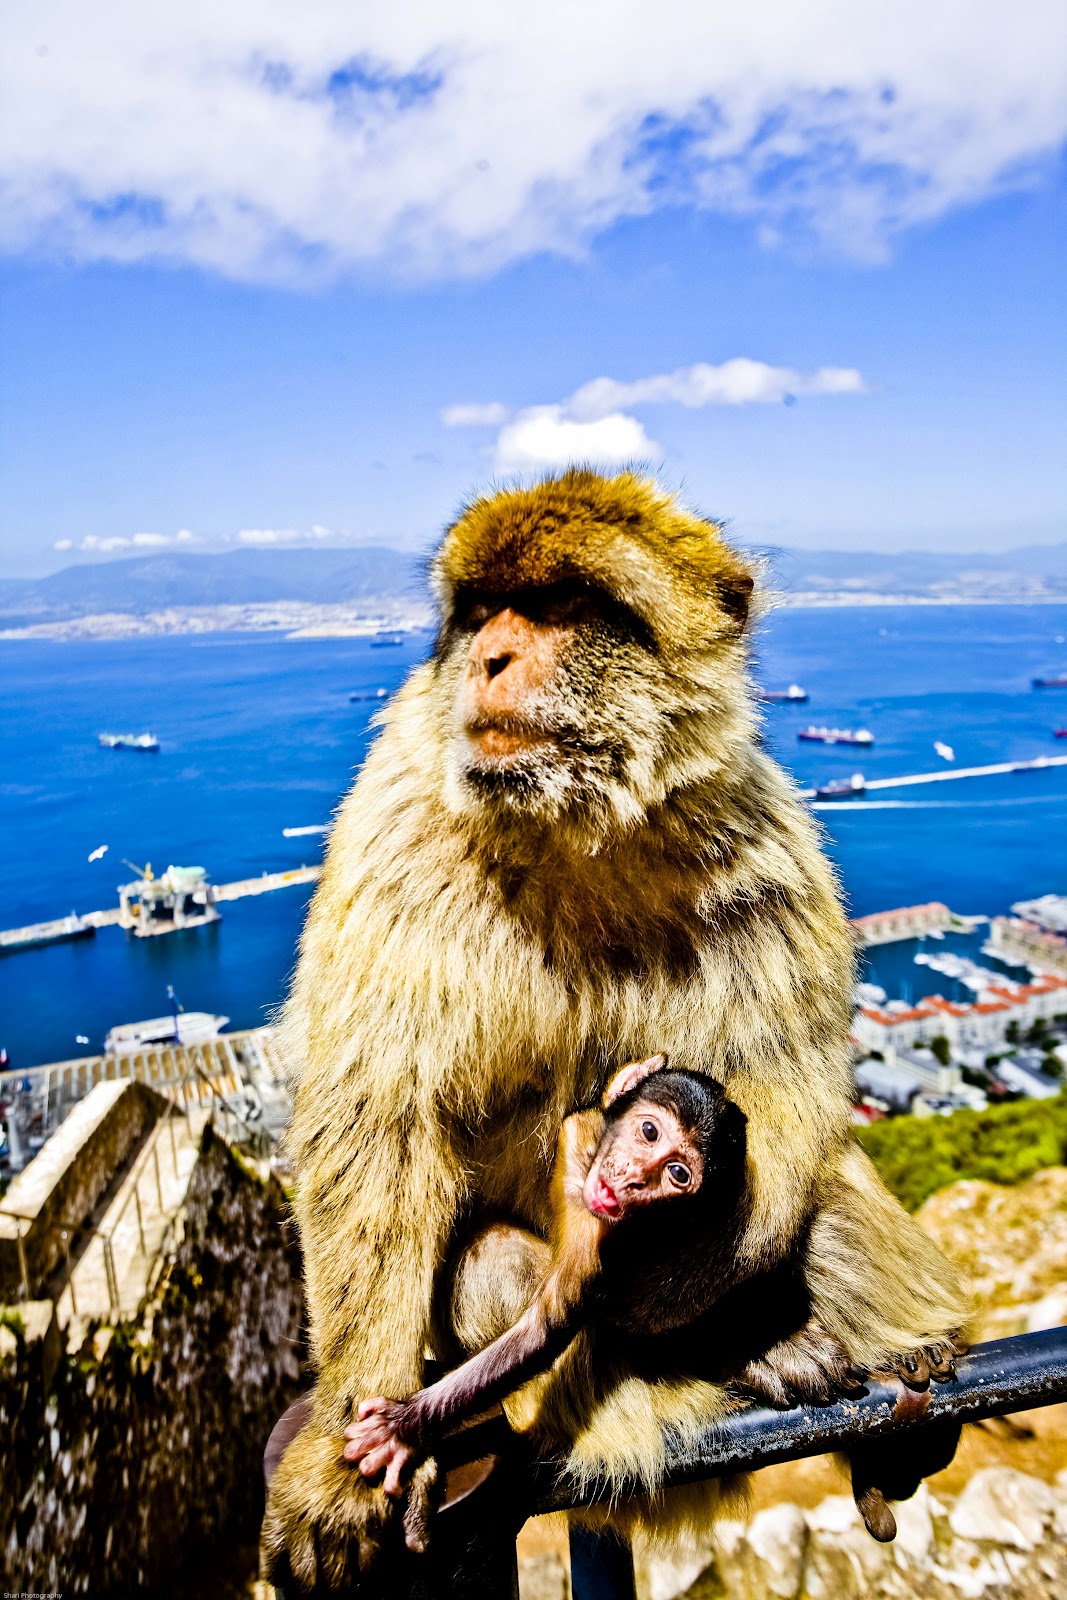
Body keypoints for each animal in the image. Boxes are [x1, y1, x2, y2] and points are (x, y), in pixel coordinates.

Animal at [340, 1055, 750, 1533]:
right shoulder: (580, 1133)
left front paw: (406, 1426)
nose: (634, 1178)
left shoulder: (596, 1240)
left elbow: (540, 1331)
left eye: (677, 1174)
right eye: (649, 1131)